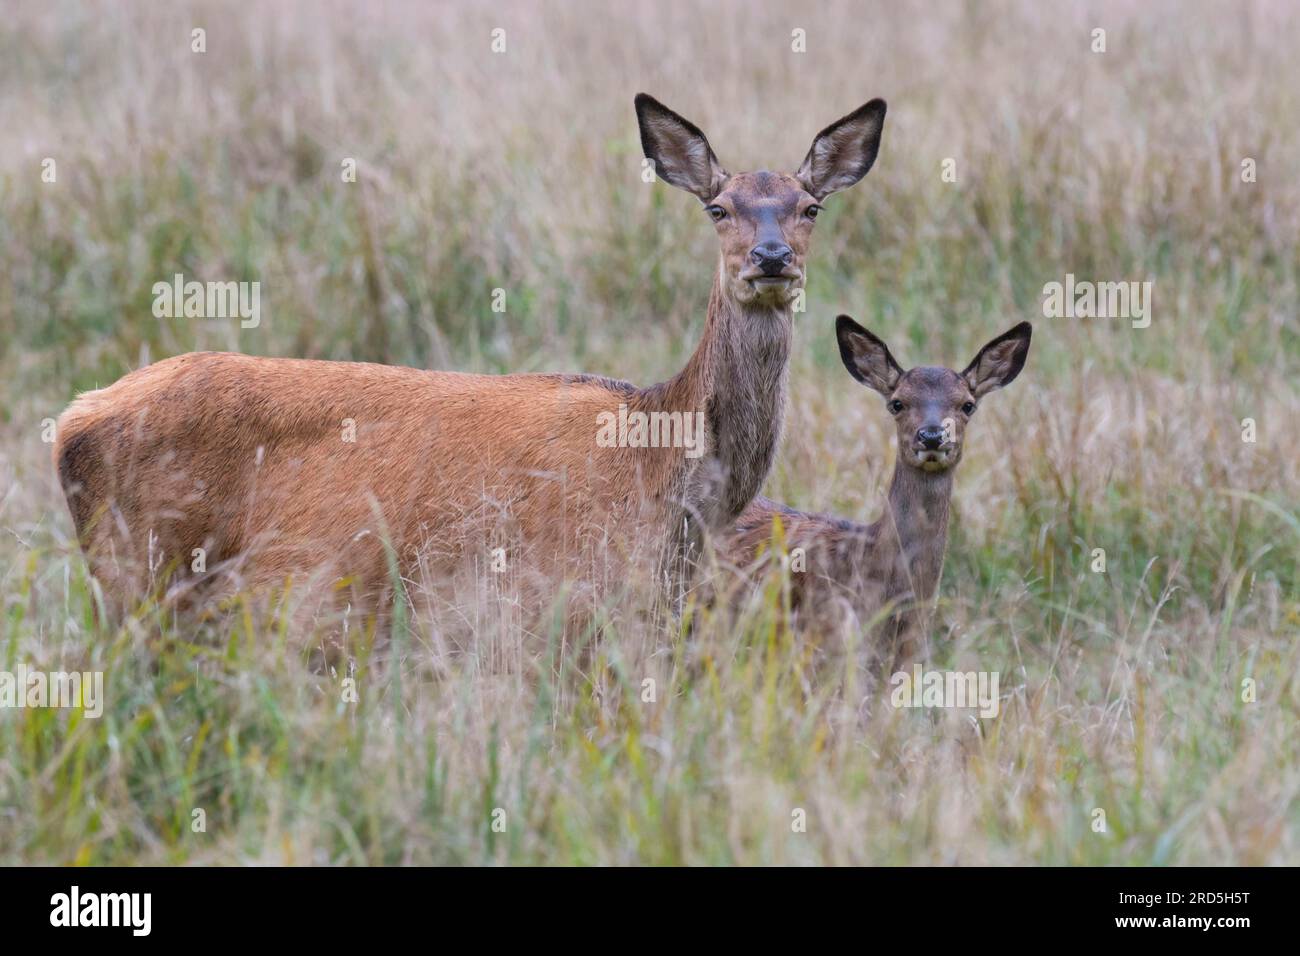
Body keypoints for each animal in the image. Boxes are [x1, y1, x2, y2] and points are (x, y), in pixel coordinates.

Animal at [54, 94, 887, 632]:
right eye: (718, 208)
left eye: (810, 206)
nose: (771, 258)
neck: (665, 471)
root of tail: (69, 421)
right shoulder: (553, 595)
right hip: (140, 568)